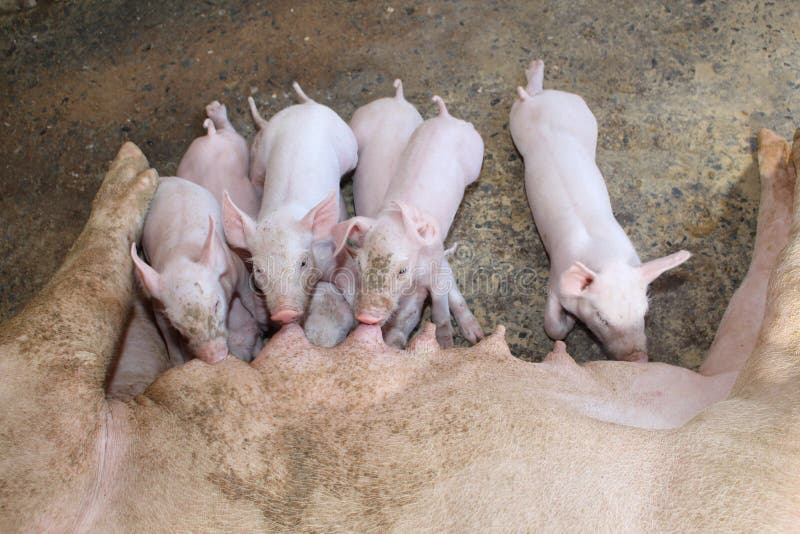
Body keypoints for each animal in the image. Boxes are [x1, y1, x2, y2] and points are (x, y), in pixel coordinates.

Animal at [131, 177, 261, 363]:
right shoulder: (157, 303)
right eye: (177, 323)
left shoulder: (236, 267)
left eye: (216, 304)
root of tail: (166, 178)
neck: (181, 255)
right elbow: (168, 338)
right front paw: (178, 362)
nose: (216, 356)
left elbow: (247, 297)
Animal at [222, 82, 358, 325]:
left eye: (303, 263)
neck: (283, 213)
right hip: (261, 154)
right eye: (259, 270)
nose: (285, 312)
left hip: (349, 147)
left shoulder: (334, 255)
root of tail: (302, 107)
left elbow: (350, 279)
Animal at [332, 96, 483, 348]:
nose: (367, 316)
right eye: (360, 264)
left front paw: (456, 342)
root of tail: (444, 117)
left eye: (402, 270)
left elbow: (442, 307)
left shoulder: (437, 264)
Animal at [509, 59, 691, 362]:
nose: (638, 359)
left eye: (644, 313)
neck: (607, 259)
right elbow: (552, 327)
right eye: (602, 318)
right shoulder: (556, 276)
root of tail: (536, 103)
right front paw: (569, 322)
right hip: (517, 123)